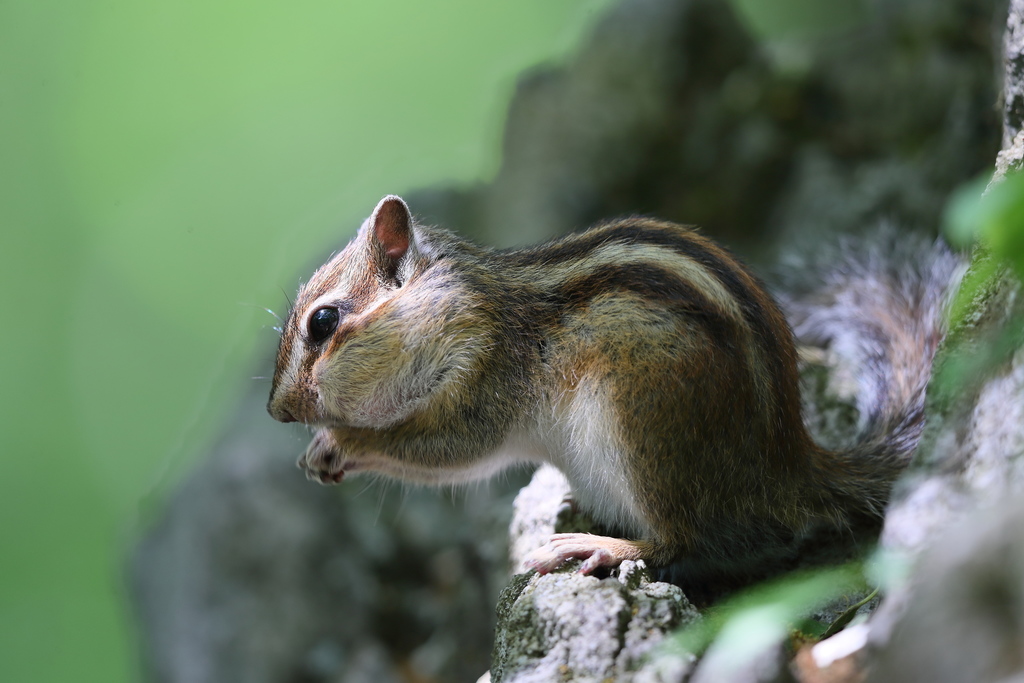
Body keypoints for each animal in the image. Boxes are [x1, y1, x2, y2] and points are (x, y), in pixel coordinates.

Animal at [267, 194, 962, 585]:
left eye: (323, 323)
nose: (279, 411)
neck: (458, 302)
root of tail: (786, 471)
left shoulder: (486, 376)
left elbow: (447, 452)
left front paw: (342, 444)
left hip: (643, 428)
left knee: (688, 540)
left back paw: (599, 544)